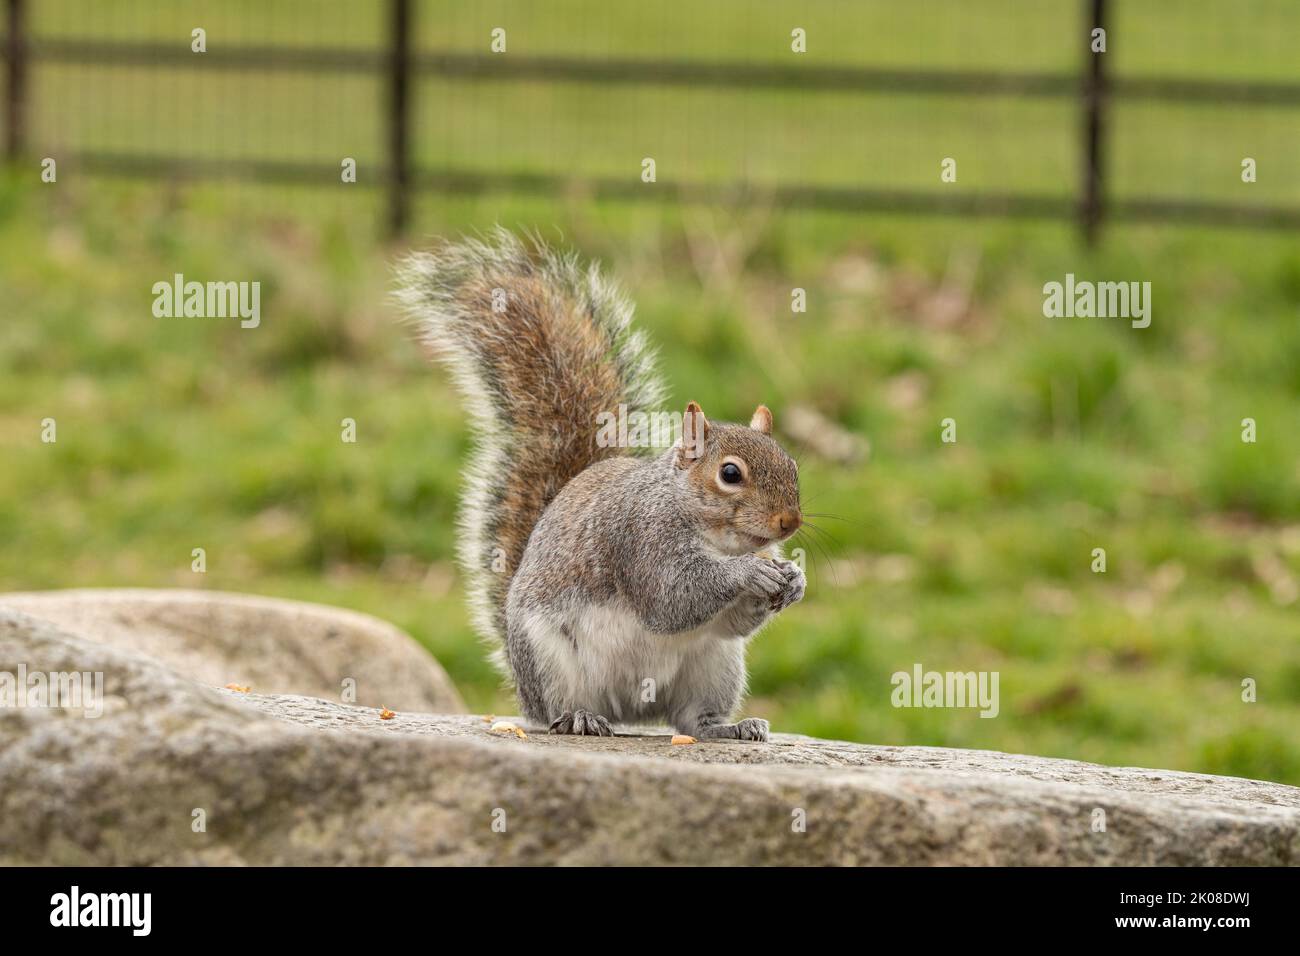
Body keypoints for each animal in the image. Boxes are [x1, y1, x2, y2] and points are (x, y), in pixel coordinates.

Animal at [396, 229, 805, 741]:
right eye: (730, 474)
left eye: (793, 466)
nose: (790, 522)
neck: (717, 536)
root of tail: (631, 711)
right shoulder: (640, 539)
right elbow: (673, 597)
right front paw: (749, 573)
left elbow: (733, 622)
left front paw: (794, 579)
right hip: (549, 660)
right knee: (559, 708)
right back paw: (579, 718)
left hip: (715, 666)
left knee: (691, 716)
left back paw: (726, 727)